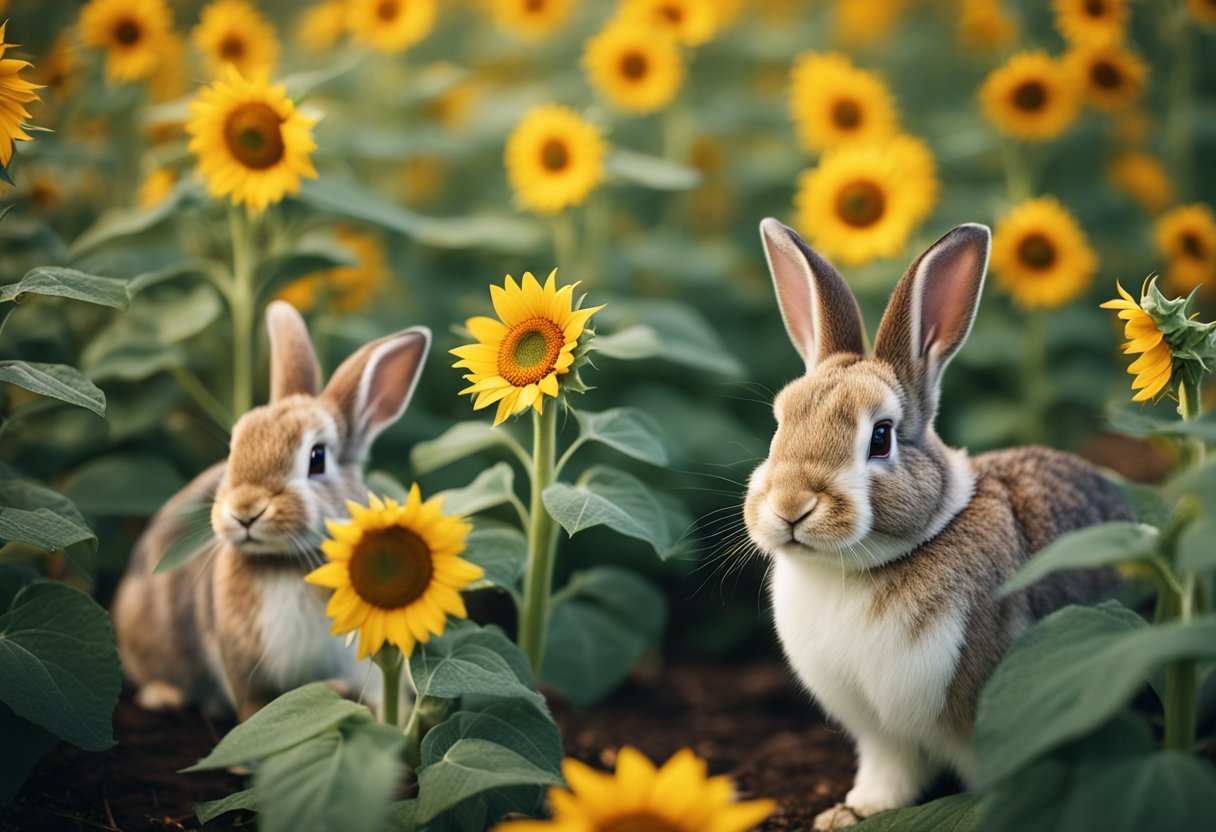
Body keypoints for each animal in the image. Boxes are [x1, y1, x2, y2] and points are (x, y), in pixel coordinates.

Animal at [112, 301, 430, 722]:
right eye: (235, 447)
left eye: (317, 458)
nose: (245, 510)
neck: (288, 564)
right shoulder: (245, 672)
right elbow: (254, 710)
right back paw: (164, 696)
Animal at [744, 219, 1130, 830]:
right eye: (780, 423)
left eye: (880, 437)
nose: (790, 506)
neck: (855, 571)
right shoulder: (881, 734)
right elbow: (888, 774)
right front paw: (854, 811)